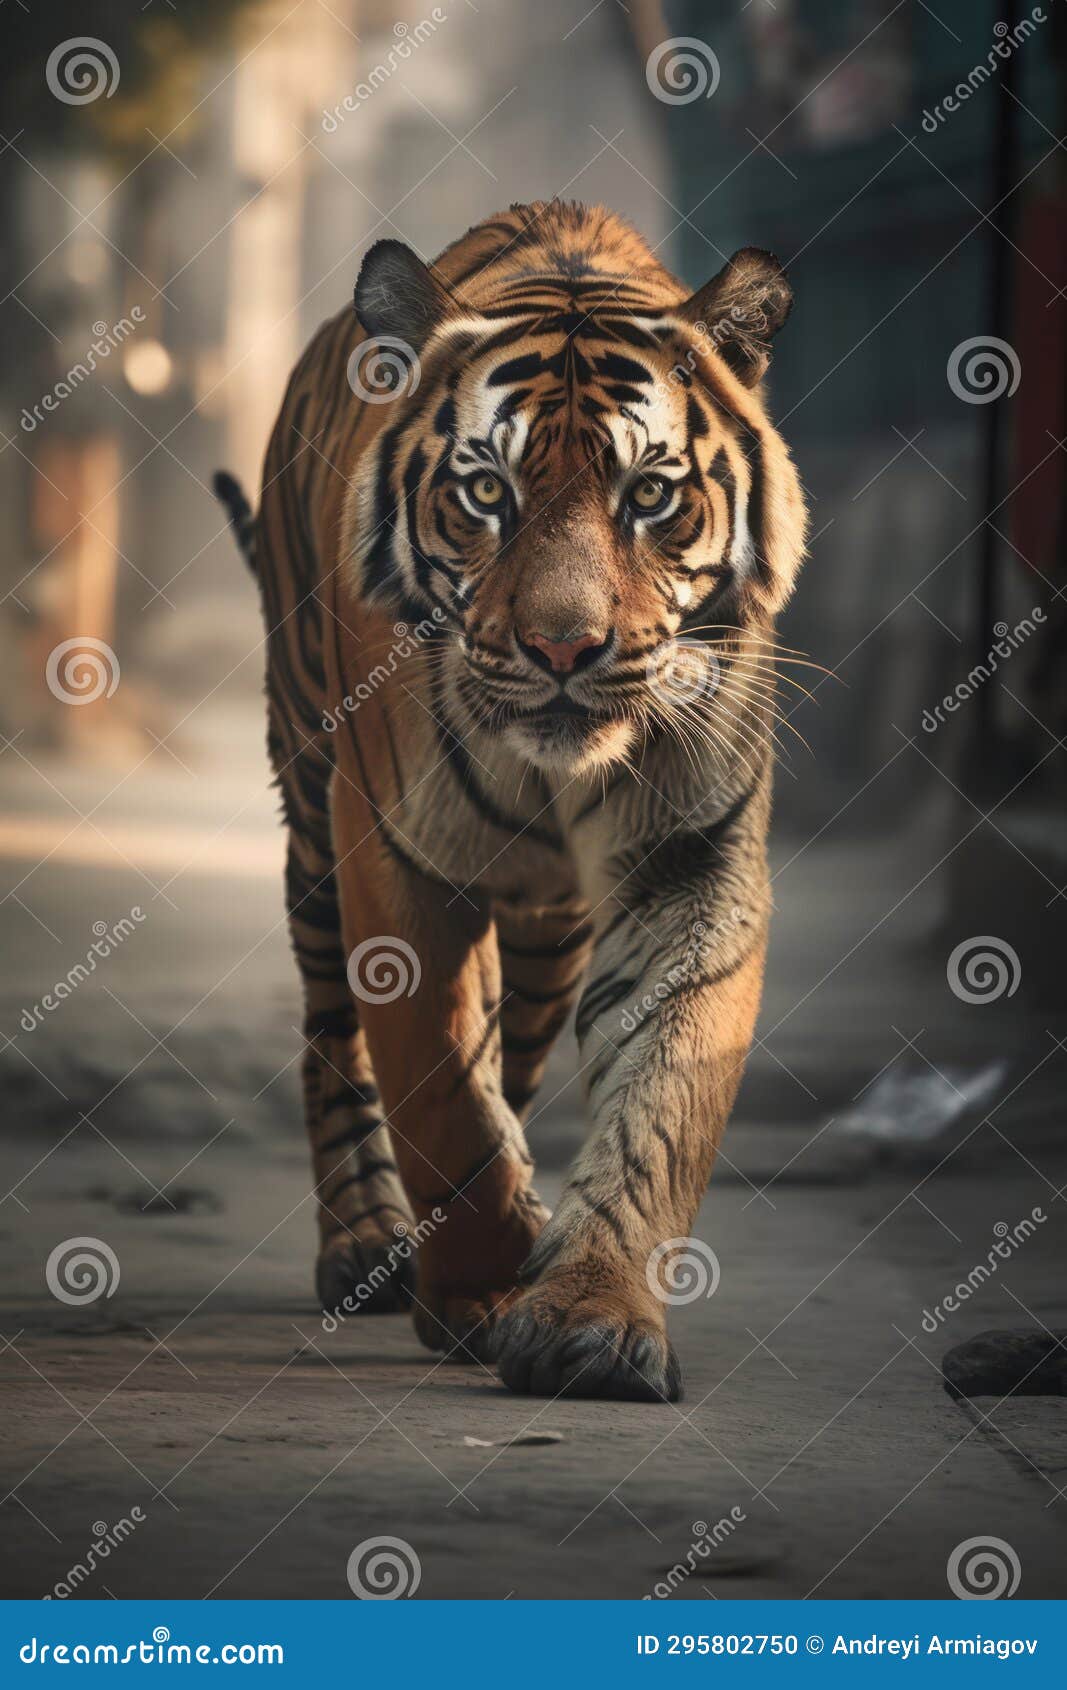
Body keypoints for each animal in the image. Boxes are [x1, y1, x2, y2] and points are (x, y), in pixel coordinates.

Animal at [214, 199, 808, 1402]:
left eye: (650, 495)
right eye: (488, 491)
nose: (564, 649)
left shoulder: (689, 859)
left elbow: (658, 1093)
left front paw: (588, 1320)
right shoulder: (393, 847)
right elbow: (439, 1086)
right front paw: (483, 1288)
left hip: (547, 931)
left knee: (514, 1043)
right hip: (311, 818)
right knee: (332, 1040)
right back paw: (365, 1244)